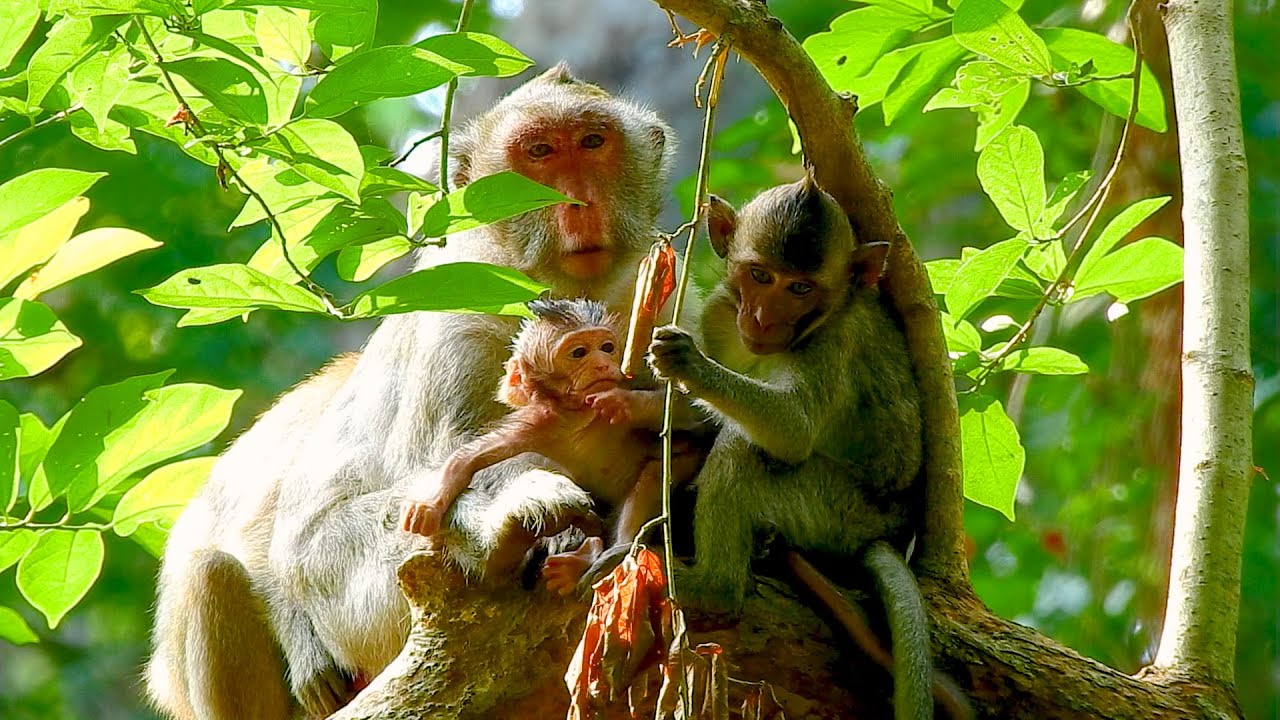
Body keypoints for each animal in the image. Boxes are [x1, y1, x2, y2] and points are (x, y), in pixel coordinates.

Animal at [399, 297, 703, 594]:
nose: (603, 364)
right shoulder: (537, 424)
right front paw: (430, 503)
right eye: (578, 353)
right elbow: (472, 456)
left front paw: (623, 401)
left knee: (660, 469)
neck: (579, 418)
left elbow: (689, 413)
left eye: (607, 348)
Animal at [644, 173, 940, 720]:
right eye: (760, 275)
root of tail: (890, 530)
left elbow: (793, 429)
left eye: (799, 288)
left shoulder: (833, 341)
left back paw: (710, 587)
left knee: (745, 450)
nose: (762, 318)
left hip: (835, 509)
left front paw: (689, 365)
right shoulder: (722, 312)